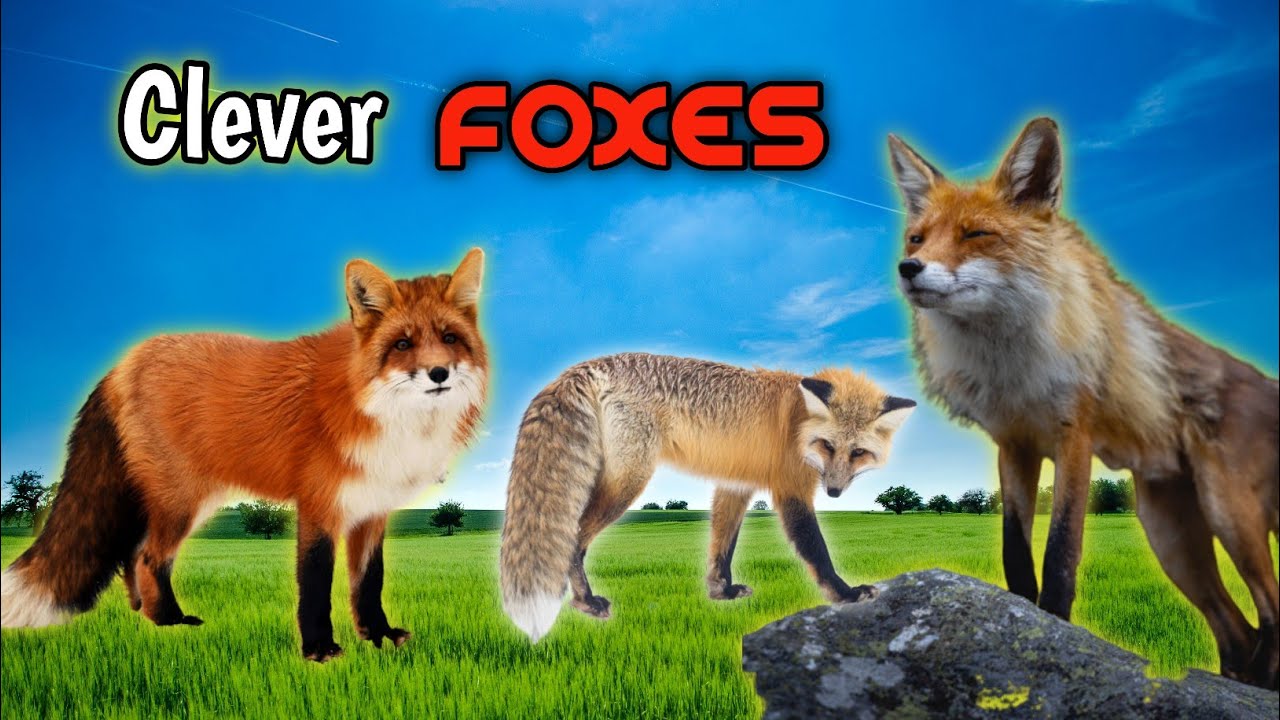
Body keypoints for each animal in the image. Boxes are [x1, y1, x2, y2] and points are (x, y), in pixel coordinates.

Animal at [0, 249, 488, 662]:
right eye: (403, 345)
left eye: (449, 338)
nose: (438, 373)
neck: (379, 410)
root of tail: (122, 364)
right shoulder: (320, 505)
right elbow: (315, 583)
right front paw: (319, 651)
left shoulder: (371, 510)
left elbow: (368, 583)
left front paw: (378, 636)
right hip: (182, 502)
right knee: (148, 558)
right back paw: (169, 622)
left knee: (132, 556)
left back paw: (140, 614)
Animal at [499, 352, 916, 641]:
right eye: (827, 446)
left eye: (858, 452)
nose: (833, 491)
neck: (798, 420)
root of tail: (592, 363)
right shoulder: (791, 490)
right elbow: (816, 551)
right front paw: (845, 594)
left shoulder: (736, 484)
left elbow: (721, 546)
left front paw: (721, 592)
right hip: (629, 482)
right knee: (573, 537)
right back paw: (584, 602)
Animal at [887, 117, 1279, 688]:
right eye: (918, 238)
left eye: (976, 234)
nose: (908, 267)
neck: (1009, 361)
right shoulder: (1015, 444)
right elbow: (1015, 552)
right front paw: (1020, 622)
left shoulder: (1075, 437)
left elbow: (1061, 553)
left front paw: (1052, 631)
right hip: (1171, 539)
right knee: (1237, 631)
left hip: (1229, 515)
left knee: (1270, 614)